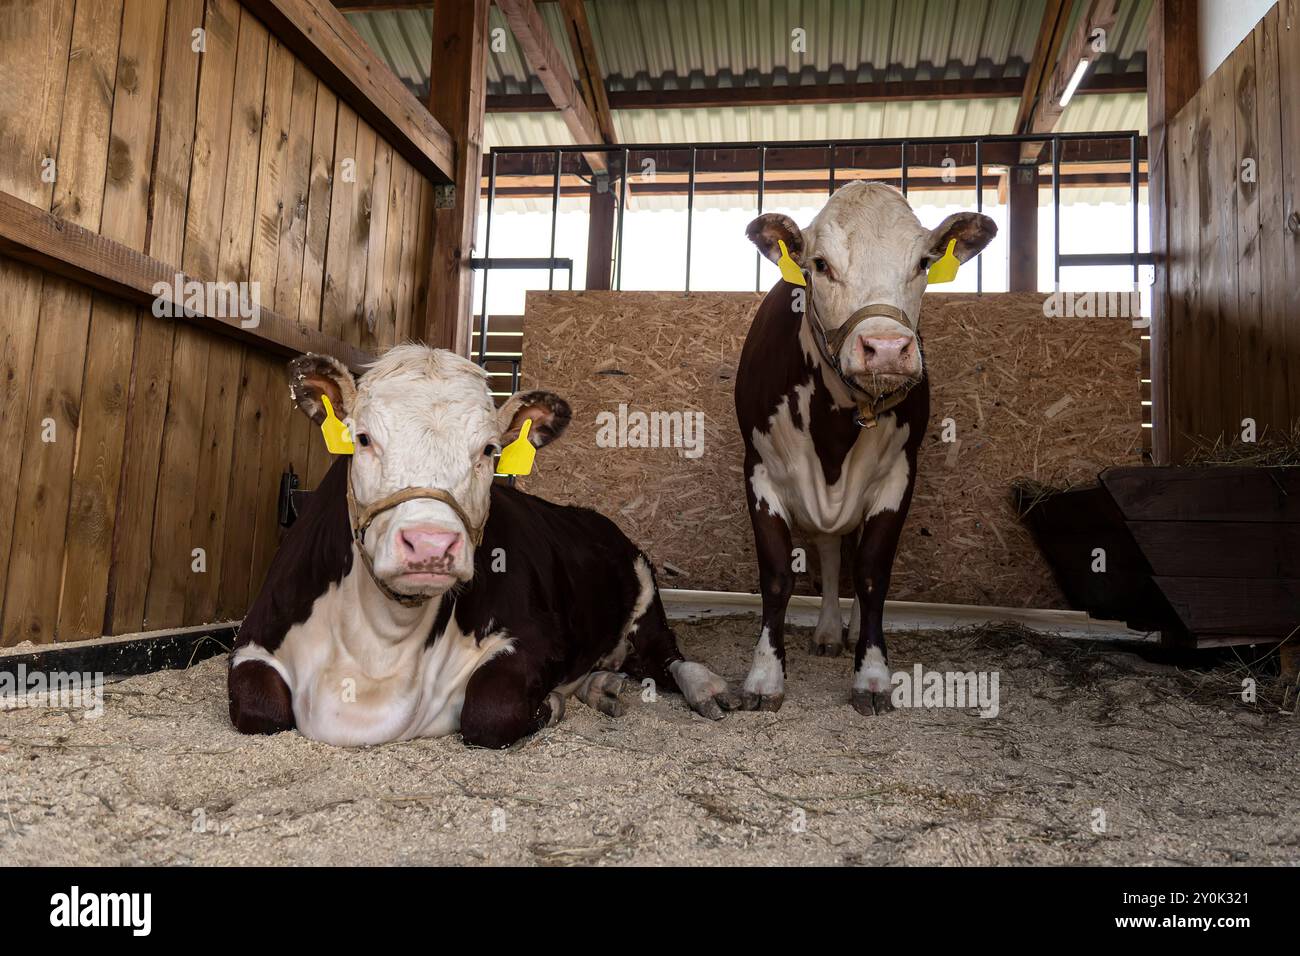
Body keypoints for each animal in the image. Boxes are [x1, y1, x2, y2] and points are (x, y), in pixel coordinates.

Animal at [228, 344, 736, 747]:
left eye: (489, 450)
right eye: (363, 439)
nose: (430, 542)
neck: (380, 648)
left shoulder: (539, 636)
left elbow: (489, 708)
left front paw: (551, 705)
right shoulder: (254, 637)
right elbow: (257, 706)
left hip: (646, 591)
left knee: (667, 657)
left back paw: (707, 690)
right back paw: (602, 686)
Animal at [735, 181, 996, 715]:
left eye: (923, 263)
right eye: (819, 264)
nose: (887, 348)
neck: (835, 429)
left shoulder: (899, 474)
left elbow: (872, 572)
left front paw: (872, 674)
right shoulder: (760, 471)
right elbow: (777, 575)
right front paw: (764, 677)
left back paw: (851, 629)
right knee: (831, 551)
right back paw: (828, 632)